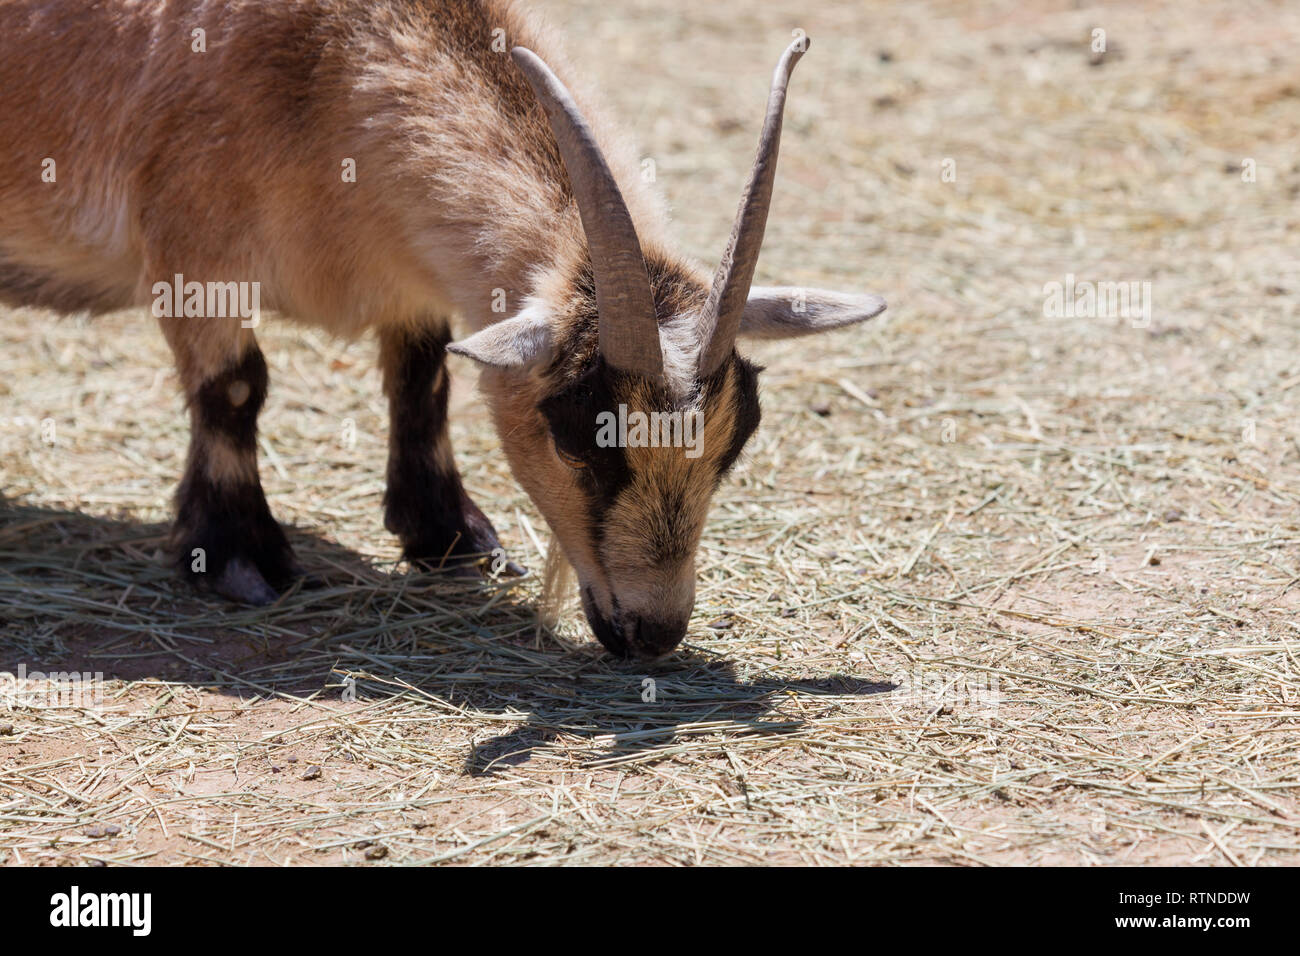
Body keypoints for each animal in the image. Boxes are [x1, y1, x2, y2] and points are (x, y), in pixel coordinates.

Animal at [0, 0, 885, 658]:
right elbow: (236, 388)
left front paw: (449, 536)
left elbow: (421, 374)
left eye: (735, 443)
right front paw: (238, 558)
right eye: (576, 438)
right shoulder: (193, 253)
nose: (654, 633)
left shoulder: (406, 281)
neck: (326, 70)